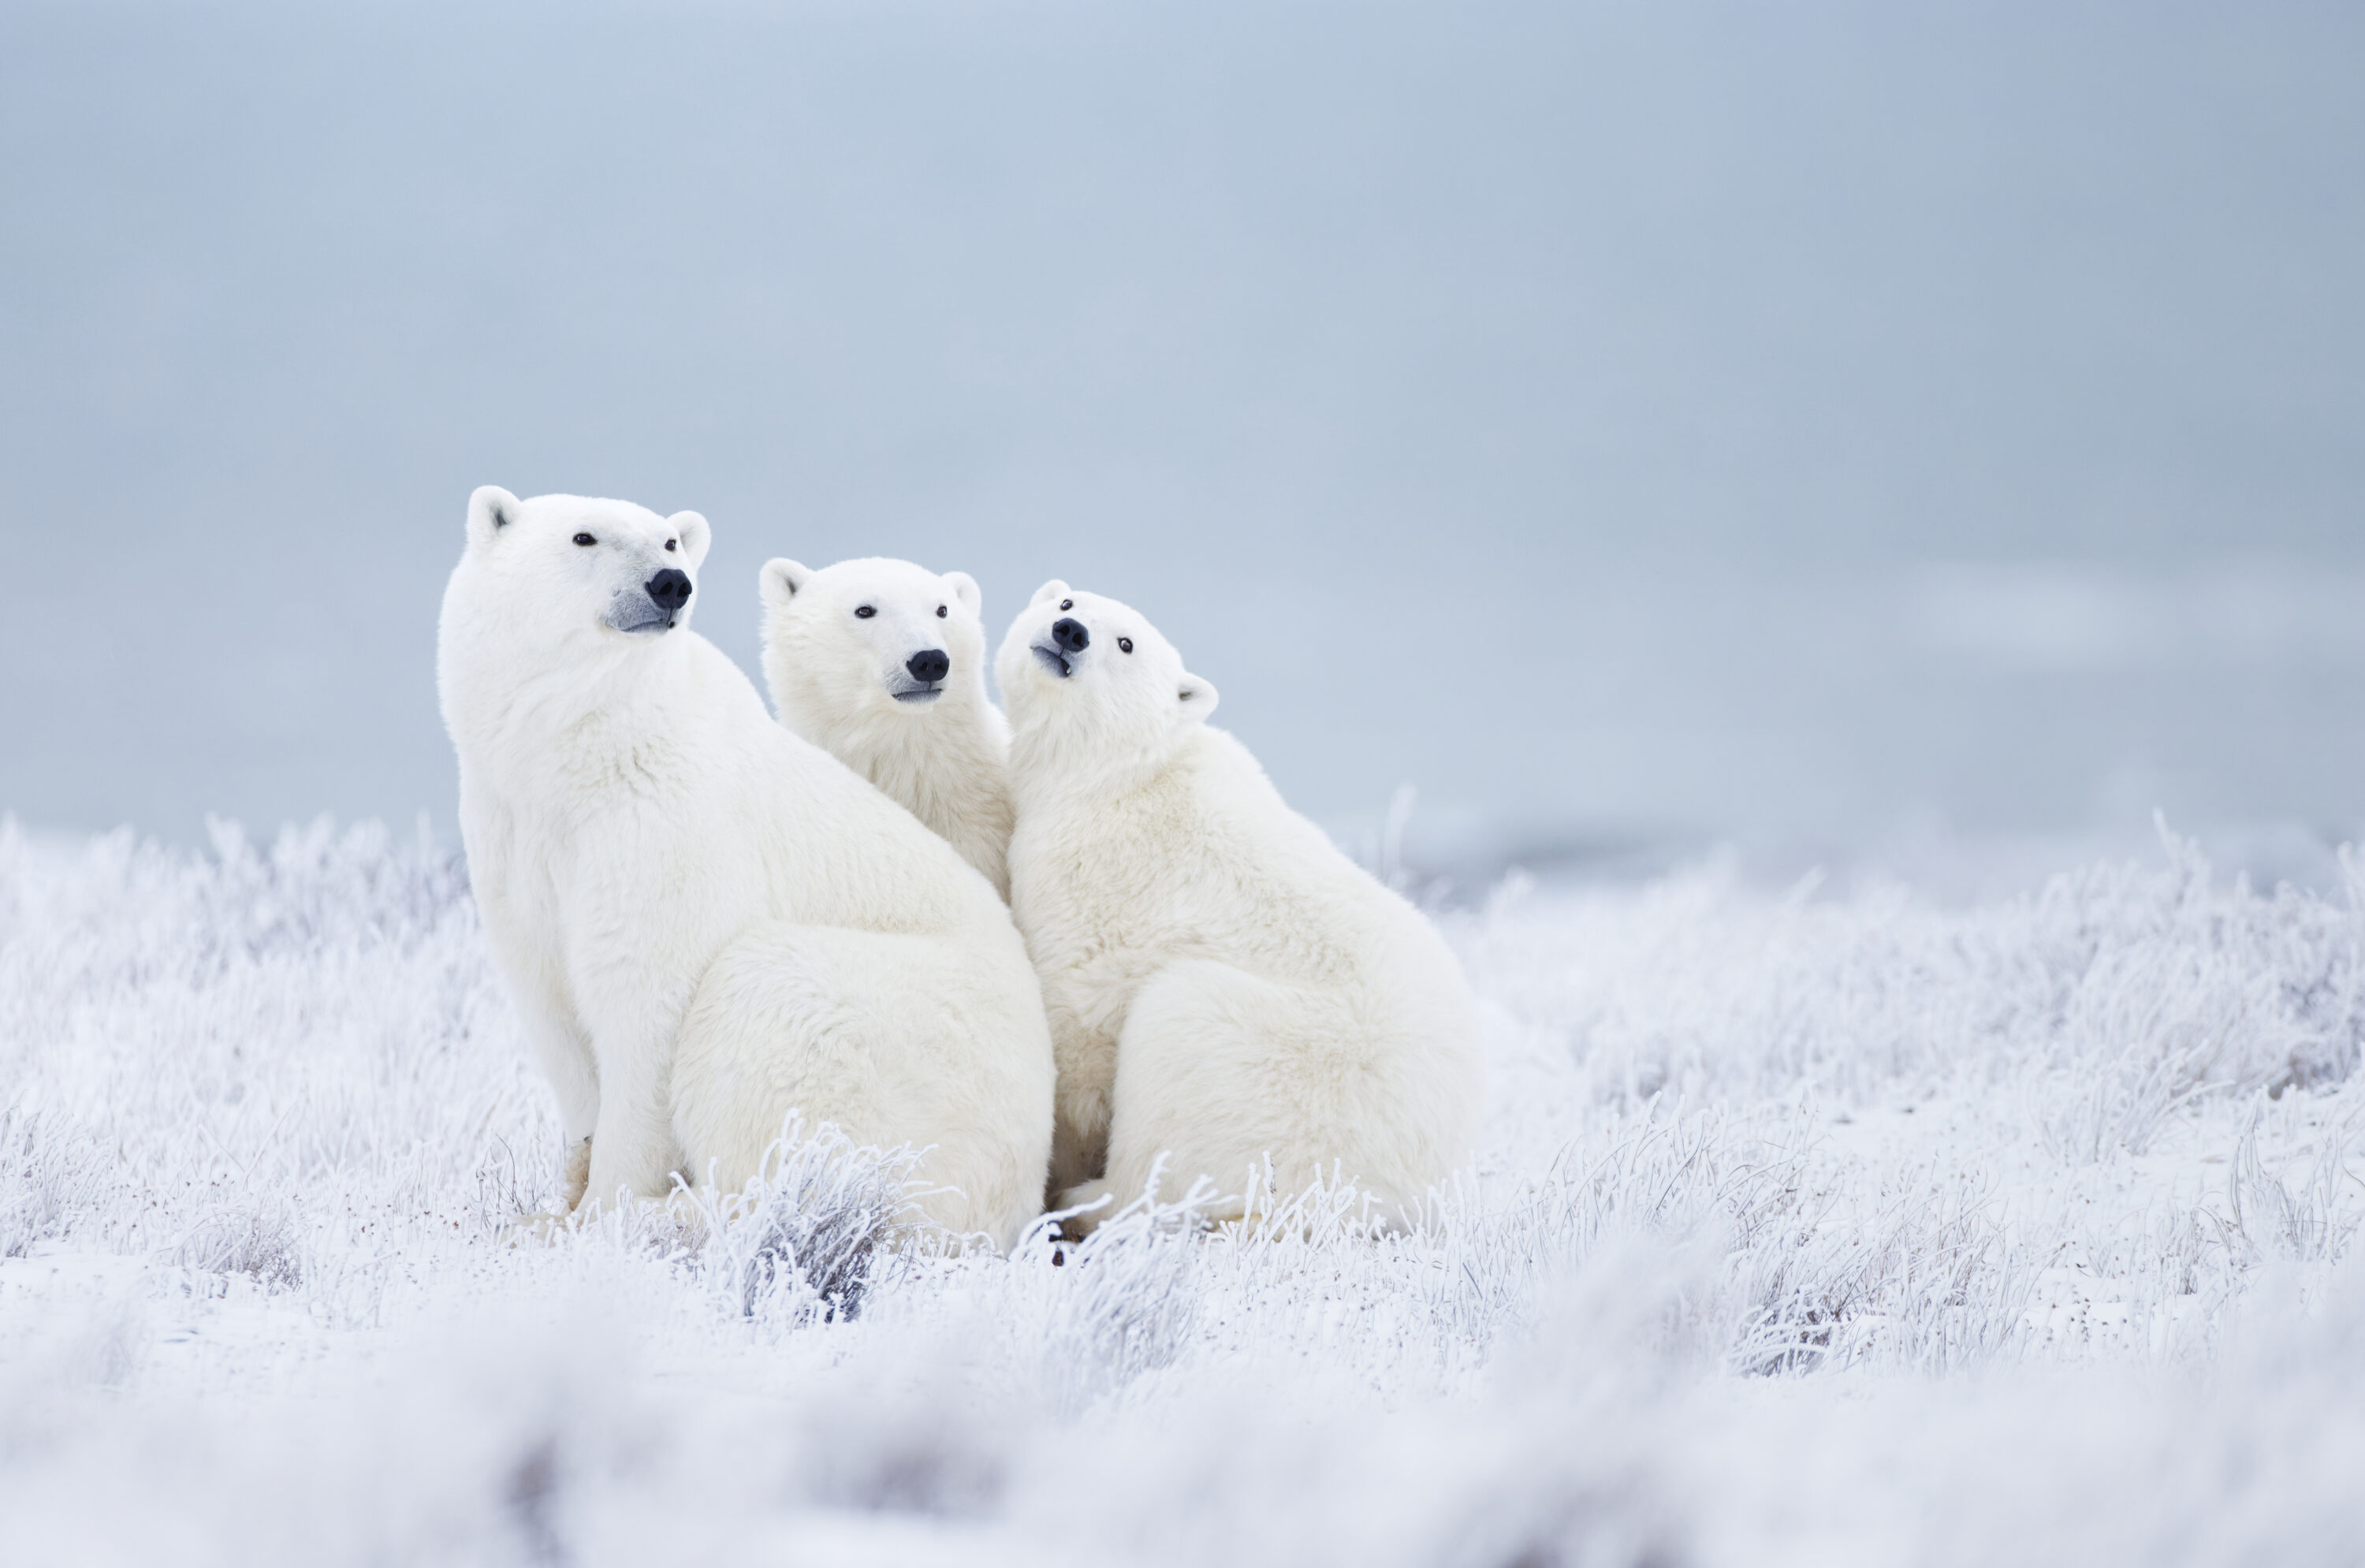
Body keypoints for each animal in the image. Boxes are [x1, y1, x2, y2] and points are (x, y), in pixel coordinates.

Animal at [995, 581, 1484, 1233]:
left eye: (1126, 643)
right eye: (1068, 604)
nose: (1069, 633)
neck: (1118, 777)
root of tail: (1410, 1196)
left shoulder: (1091, 874)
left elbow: (1077, 1022)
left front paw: (1063, 1166)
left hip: (1277, 1067)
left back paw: (1087, 1201)